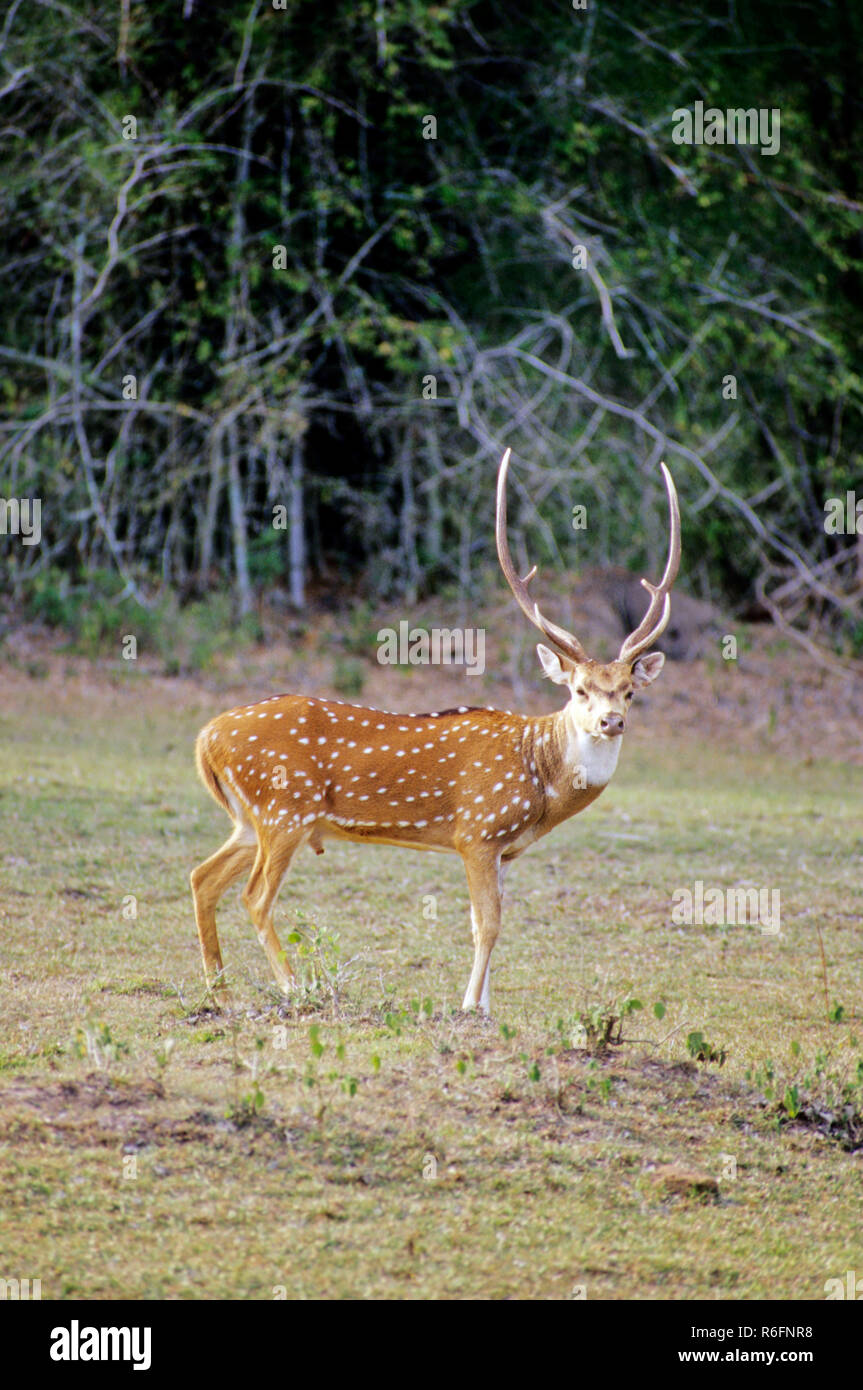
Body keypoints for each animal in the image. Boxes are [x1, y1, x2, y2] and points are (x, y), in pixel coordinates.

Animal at [190, 448, 680, 1014]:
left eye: (629, 691)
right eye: (579, 689)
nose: (611, 721)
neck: (540, 783)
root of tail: (206, 736)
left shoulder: (504, 850)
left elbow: (483, 922)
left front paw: (485, 1004)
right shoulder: (478, 831)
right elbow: (487, 924)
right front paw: (469, 1005)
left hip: (250, 819)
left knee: (202, 877)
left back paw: (218, 990)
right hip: (285, 808)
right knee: (254, 896)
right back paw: (294, 986)